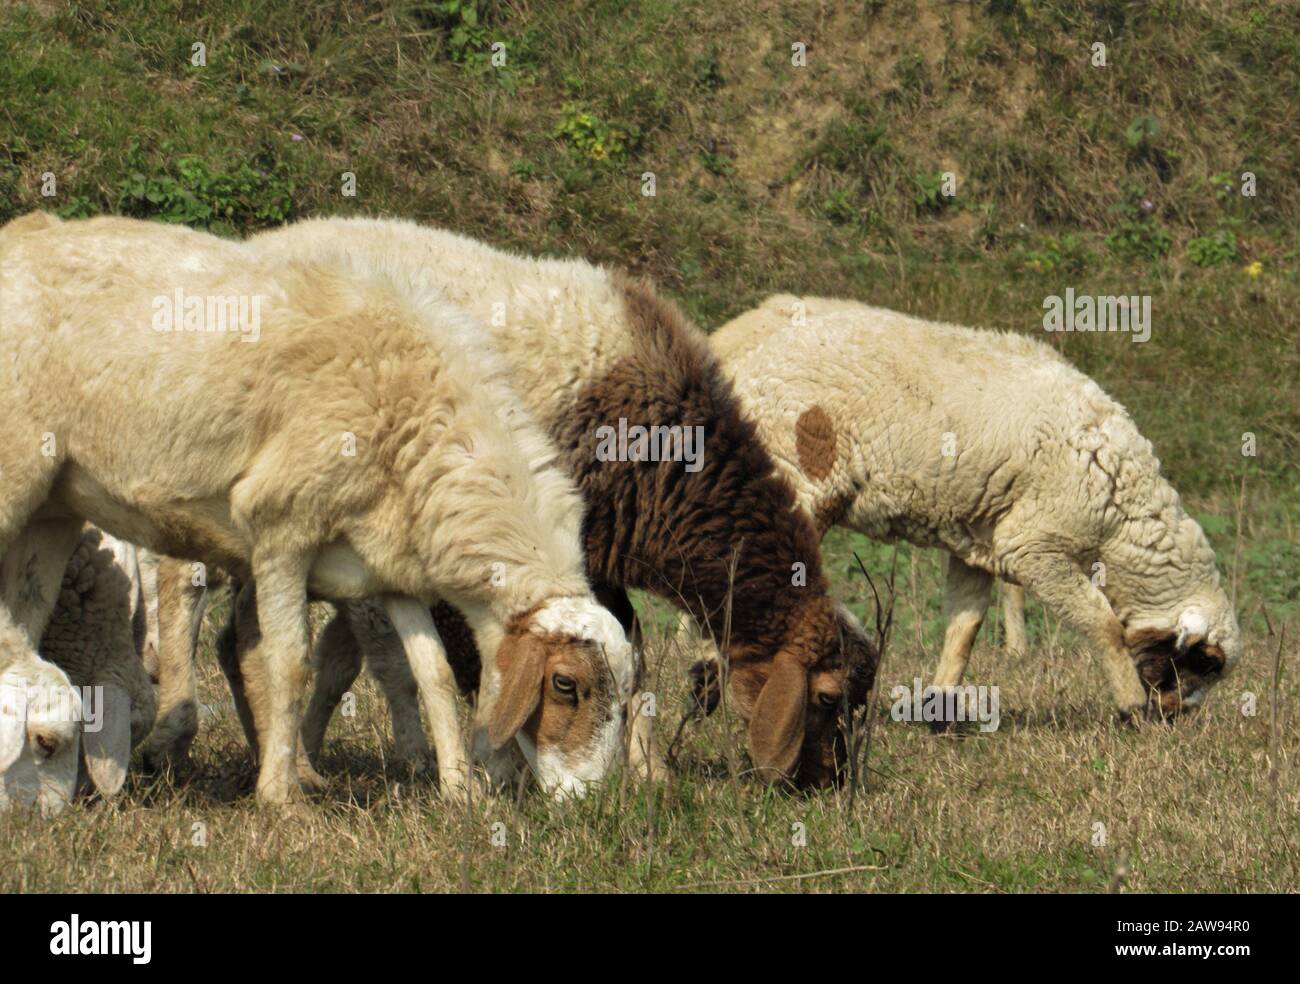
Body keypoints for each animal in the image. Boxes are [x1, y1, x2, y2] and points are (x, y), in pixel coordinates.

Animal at [0, 212, 634, 806]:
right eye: (565, 685)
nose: (587, 802)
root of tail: (21, 232)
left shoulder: (391, 568)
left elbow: (432, 673)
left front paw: (458, 790)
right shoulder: (282, 531)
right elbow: (289, 665)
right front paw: (280, 797)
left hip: (55, 508)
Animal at [245, 218, 879, 787]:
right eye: (827, 697)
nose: (829, 783)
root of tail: (270, 239)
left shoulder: (596, 559)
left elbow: (629, 650)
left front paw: (645, 771)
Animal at [701, 294, 1240, 721]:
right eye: (1202, 662)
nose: (1176, 718)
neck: (1121, 514)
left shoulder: (978, 544)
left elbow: (965, 626)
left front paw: (940, 708)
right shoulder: (1033, 547)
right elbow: (1102, 620)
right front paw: (1131, 707)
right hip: (796, 474)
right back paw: (710, 672)